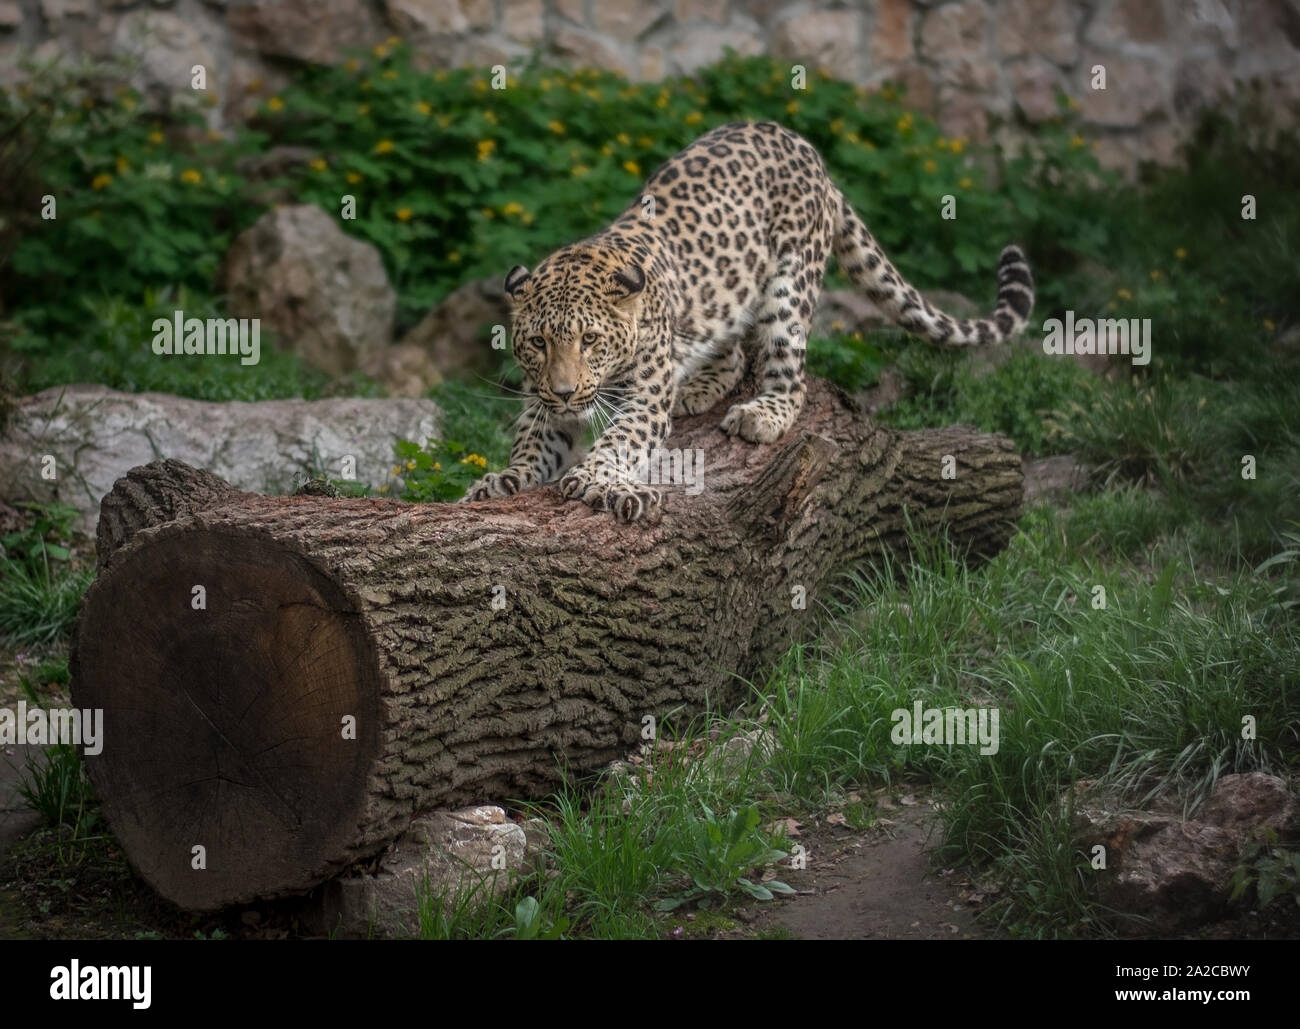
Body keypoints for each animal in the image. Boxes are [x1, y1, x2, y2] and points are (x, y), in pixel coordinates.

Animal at [461, 120, 1034, 522]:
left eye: (590, 339)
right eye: (538, 342)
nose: (564, 391)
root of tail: (806, 149)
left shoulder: (644, 398)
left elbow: (619, 439)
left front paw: (596, 479)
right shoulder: (542, 400)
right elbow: (532, 441)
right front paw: (505, 479)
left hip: (790, 284)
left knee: (790, 372)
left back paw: (763, 414)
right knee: (731, 347)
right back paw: (700, 386)